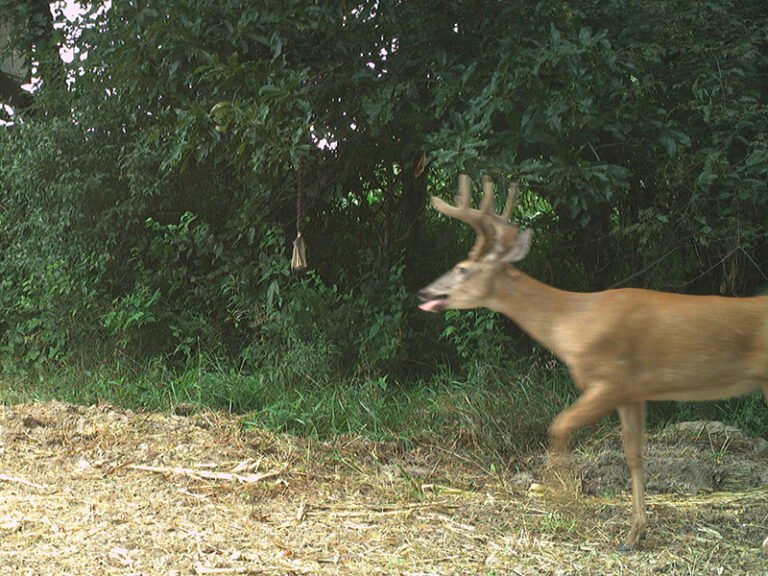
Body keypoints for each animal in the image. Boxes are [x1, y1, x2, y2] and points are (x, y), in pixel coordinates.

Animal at [418, 174, 768, 551]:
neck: (571, 322)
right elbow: (634, 455)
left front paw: (562, 501)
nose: (424, 292)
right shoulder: (633, 392)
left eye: (462, 268)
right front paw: (634, 533)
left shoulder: (610, 380)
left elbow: (558, 427)